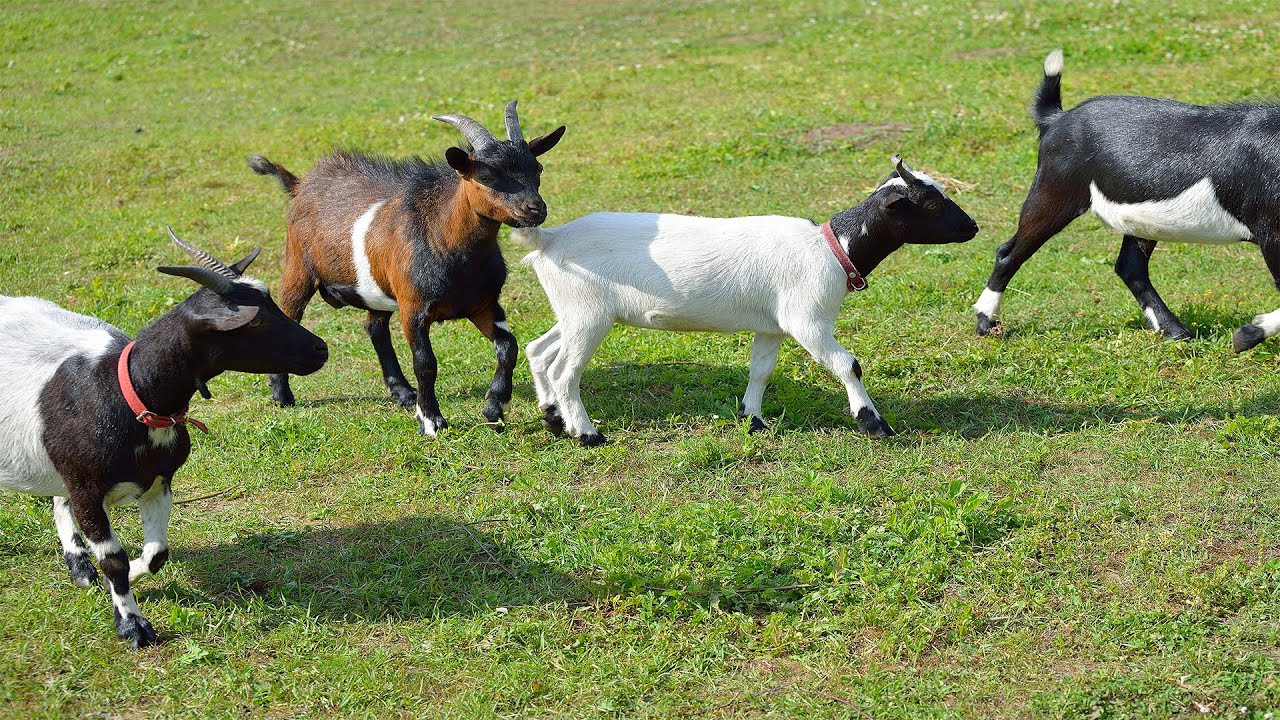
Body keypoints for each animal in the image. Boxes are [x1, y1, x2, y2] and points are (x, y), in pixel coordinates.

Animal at [0, 229, 328, 648]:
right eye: (253, 322)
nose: (321, 349)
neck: (125, 390)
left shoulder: (157, 482)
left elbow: (157, 553)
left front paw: (135, 570)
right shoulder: (87, 487)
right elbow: (113, 560)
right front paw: (133, 625)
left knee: (59, 501)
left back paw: (80, 568)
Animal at [249, 101, 565, 435]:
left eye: (537, 169)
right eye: (486, 175)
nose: (535, 208)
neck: (444, 239)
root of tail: (299, 185)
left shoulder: (483, 304)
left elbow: (508, 346)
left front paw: (494, 407)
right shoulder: (413, 308)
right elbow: (425, 363)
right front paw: (431, 420)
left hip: (377, 290)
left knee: (374, 328)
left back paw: (402, 392)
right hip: (298, 269)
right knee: (289, 314)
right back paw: (282, 395)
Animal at [513, 156, 979, 445]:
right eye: (931, 202)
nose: (972, 227)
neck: (831, 249)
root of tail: (549, 240)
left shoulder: (772, 326)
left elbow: (761, 371)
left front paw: (752, 419)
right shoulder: (807, 320)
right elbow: (848, 364)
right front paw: (873, 423)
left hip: (575, 310)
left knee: (539, 351)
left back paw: (552, 418)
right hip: (589, 314)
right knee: (565, 370)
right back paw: (587, 434)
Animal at [974, 49, 1280, 351]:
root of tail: (1056, 119)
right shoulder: (1271, 232)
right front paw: (1247, 335)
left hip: (1140, 222)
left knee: (1131, 267)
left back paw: (1175, 332)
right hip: (1054, 191)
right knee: (1008, 252)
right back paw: (986, 323)